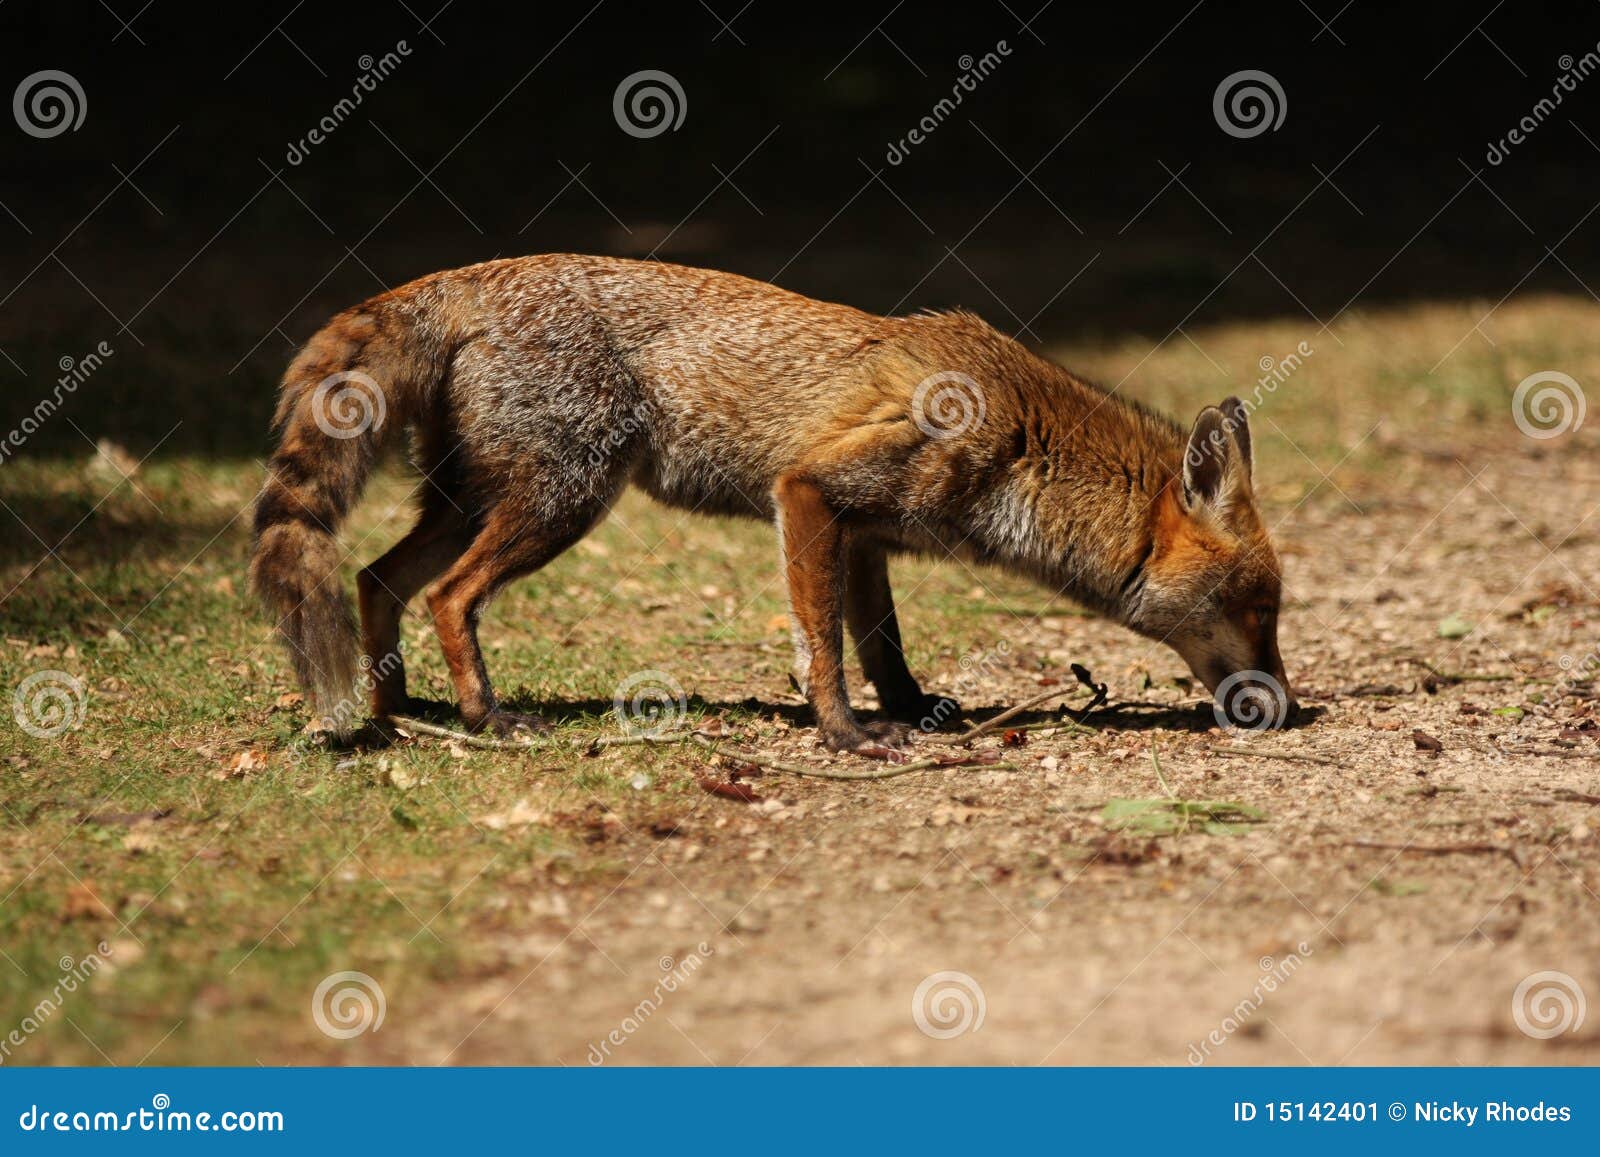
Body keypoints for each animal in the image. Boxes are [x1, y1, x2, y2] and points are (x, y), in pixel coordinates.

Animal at [250, 253, 1294, 752]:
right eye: (1259, 609)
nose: (1284, 706)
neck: (1022, 435)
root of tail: (458, 278)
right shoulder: (810, 492)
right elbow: (822, 643)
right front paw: (844, 735)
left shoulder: (865, 531)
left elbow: (883, 646)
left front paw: (909, 713)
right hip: (561, 499)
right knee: (447, 595)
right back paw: (485, 718)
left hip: (474, 504)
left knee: (375, 578)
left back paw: (399, 710)